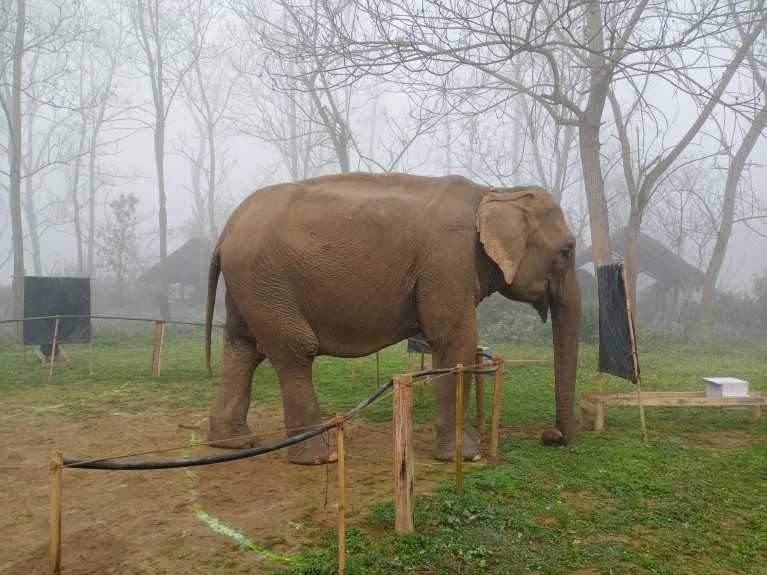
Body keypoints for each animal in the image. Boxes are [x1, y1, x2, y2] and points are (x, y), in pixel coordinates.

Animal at [204, 172, 581, 464]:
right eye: (566, 251)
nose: (552, 436)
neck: (496, 191)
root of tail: (225, 232)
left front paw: (471, 442)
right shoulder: (448, 260)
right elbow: (455, 341)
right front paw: (465, 454)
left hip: (249, 286)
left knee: (242, 347)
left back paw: (233, 444)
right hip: (266, 280)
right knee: (294, 350)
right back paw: (320, 456)